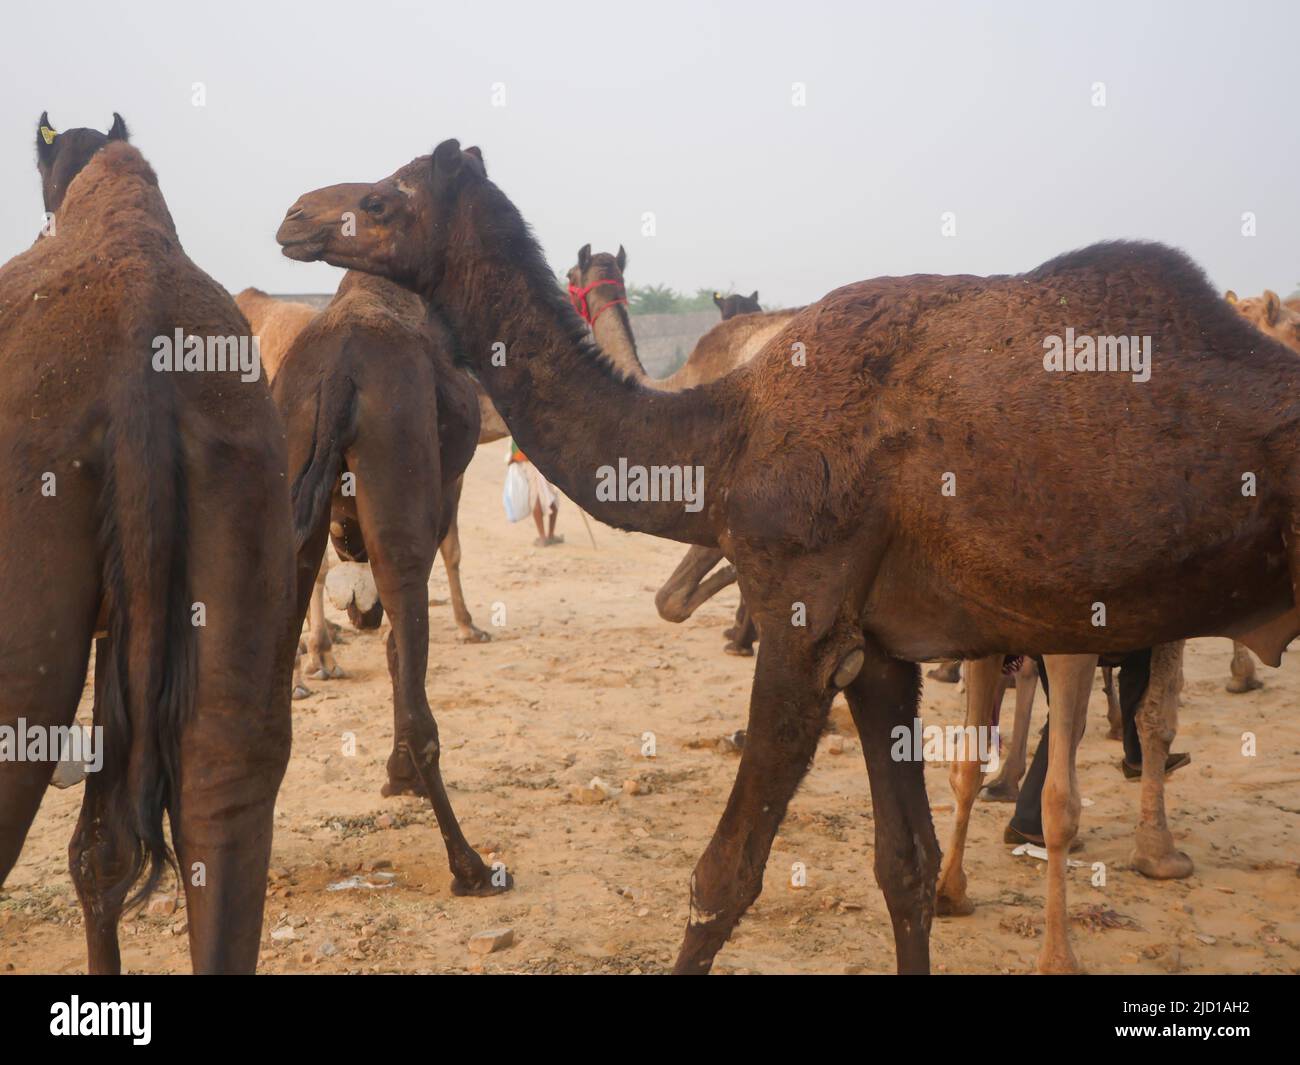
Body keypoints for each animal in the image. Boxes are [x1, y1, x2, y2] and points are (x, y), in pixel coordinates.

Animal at [269, 267, 506, 896]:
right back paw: (469, 866)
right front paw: (401, 775)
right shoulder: (439, 495)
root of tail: (337, 378)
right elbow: (402, 649)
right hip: (399, 472)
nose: (359, 610)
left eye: (345, 529)